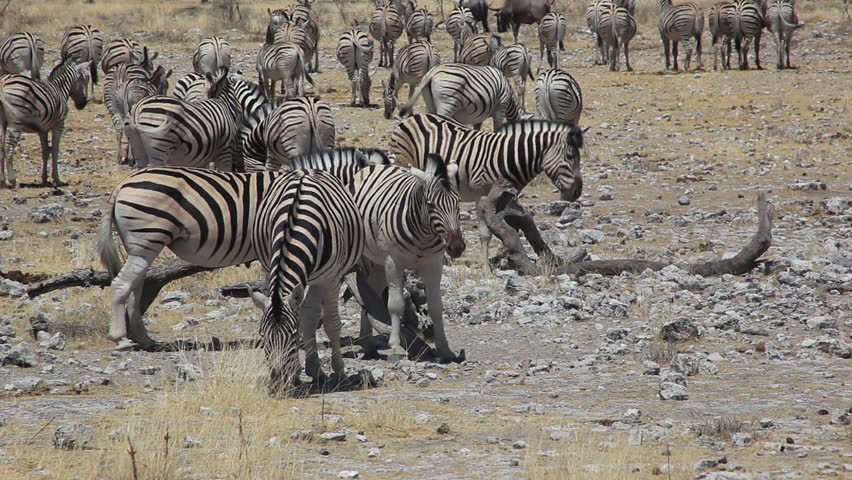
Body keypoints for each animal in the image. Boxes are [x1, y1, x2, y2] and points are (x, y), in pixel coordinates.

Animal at [0, 58, 91, 188]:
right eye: (84, 79)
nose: (82, 104)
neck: (60, 88)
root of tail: (3, 83)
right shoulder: (59, 124)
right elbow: (55, 150)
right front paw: (56, 179)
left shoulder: (42, 129)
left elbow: (45, 151)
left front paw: (44, 179)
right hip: (16, 122)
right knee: (9, 148)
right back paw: (13, 181)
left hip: (2, 122)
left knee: (1, 147)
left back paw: (2, 181)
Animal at [97, 167, 281, 349]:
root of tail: (123, 182)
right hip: (147, 238)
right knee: (122, 284)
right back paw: (120, 338)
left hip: (137, 247)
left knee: (135, 287)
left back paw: (144, 339)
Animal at [249, 168, 365, 392]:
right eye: (262, 336)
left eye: (294, 336)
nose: (277, 383)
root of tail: (306, 169)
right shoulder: (269, 267)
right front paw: (295, 374)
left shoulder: (331, 278)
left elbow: (331, 324)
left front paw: (341, 373)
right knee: (306, 312)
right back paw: (311, 370)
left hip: (322, 277)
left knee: (310, 313)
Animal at [348, 154, 466, 363]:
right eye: (430, 204)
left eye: (458, 201)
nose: (457, 247)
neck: (424, 234)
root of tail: (373, 165)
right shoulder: (394, 262)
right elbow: (395, 305)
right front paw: (395, 347)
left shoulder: (433, 263)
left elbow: (436, 306)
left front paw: (445, 349)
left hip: (379, 262)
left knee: (371, 290)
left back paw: (368, 345)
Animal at [390, 114, 584, 266]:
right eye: (570, 156)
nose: (577, 193)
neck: (509, 157)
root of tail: (413, 116)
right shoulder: (482, 196)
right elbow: (485, 233)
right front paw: (485, 266)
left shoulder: (508, 196)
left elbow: (514, 225)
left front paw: (510, 253)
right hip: (404, 162)